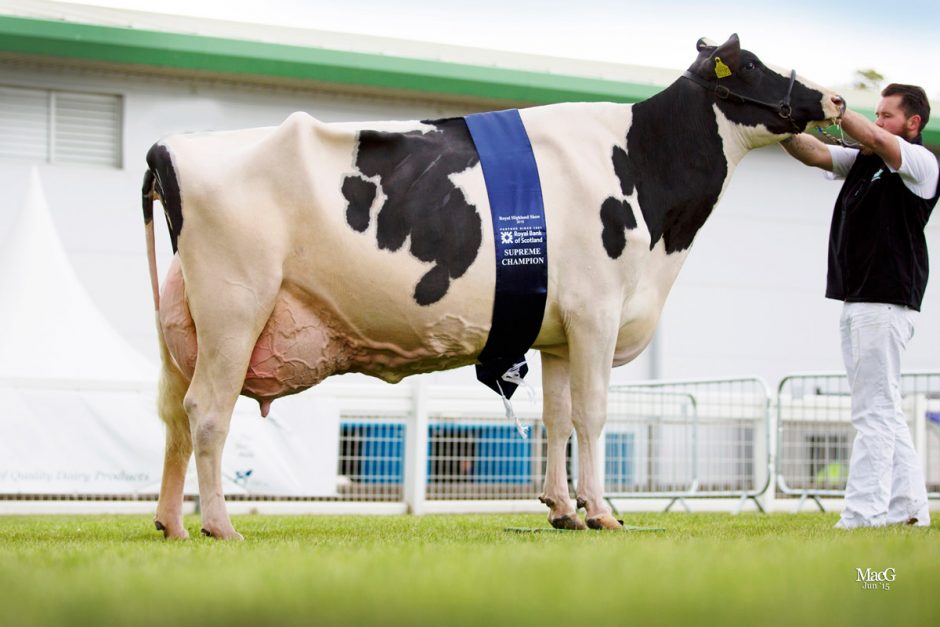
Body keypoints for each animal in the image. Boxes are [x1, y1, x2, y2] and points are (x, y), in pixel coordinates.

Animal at [142, 34, 844, 539]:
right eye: (748, 63)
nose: (835, 99)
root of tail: (168, 148)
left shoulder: (558, 332)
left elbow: (555, 417)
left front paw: (562, 510)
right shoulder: (597, 311)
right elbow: (592, 414)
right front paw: (602, 512)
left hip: (185, 326)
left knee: (174, 420)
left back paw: (172, 525)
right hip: (235, 307)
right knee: (208, 413)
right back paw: (219, 527)